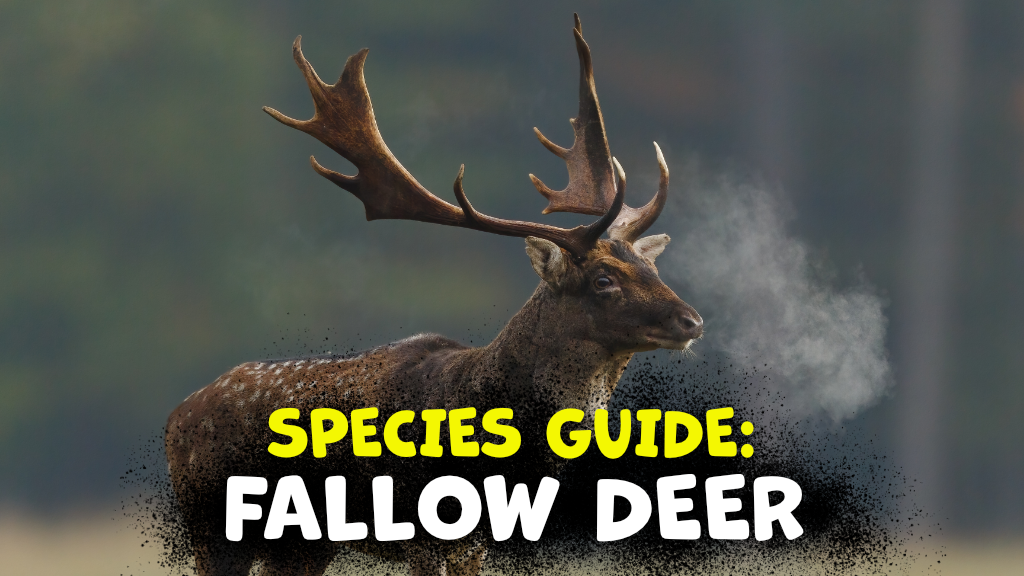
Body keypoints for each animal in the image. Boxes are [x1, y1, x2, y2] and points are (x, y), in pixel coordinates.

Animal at [165, 14, 703, 576]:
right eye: (602, 280)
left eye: (652, 265)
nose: (692, 321)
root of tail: (175, 416)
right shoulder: (421, 530)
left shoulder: (479, 540)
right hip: (214, 528)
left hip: (301, 543)